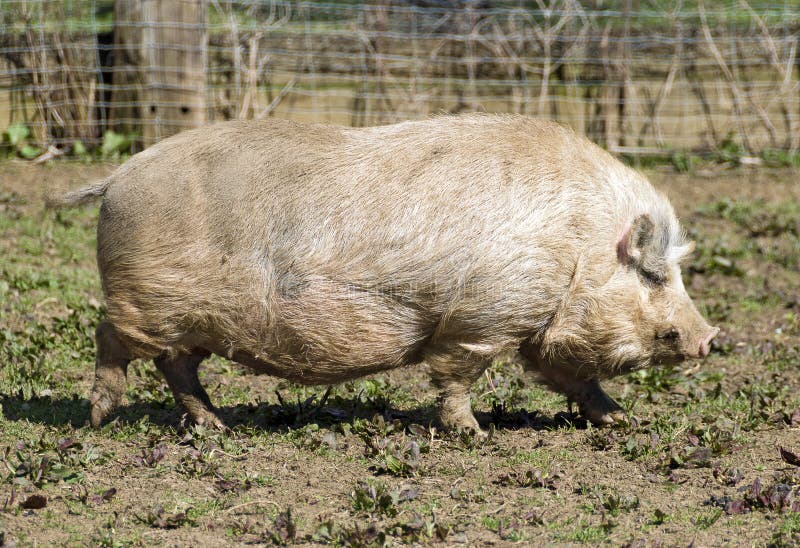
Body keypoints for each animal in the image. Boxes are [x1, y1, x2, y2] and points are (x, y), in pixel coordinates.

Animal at [52, 114, 718, 432]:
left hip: (185, 318)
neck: (579, 243)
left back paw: (216, 426)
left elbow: (573, 377)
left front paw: (622, 420)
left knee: (177, 365)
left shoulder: (535, 323)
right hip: (145, 299)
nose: (710, 338)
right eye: (654, 276)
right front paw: (472, 434)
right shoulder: (485, 317)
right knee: (111, 338)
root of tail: (116, 177)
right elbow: (457, 376)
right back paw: (99, 418)